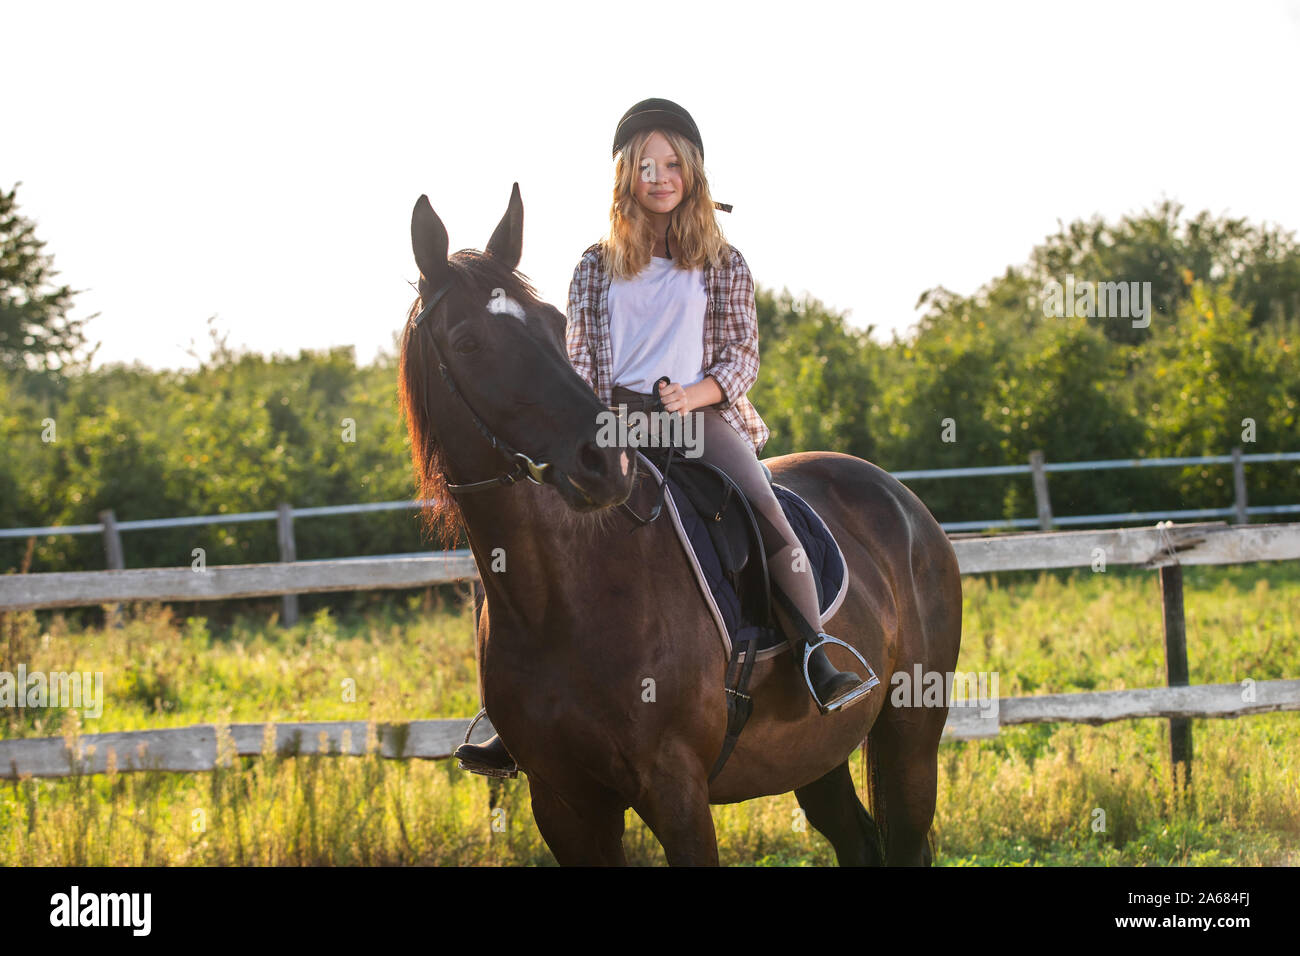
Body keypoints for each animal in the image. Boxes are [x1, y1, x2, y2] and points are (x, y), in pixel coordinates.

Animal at [398, 184, 963, 865]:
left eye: (555, 325)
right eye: (467, 343)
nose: (605, 463)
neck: (559, 594)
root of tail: (902, 501)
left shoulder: (676, 791)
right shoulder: (562, 806)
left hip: (910, 737)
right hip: (815, 755)